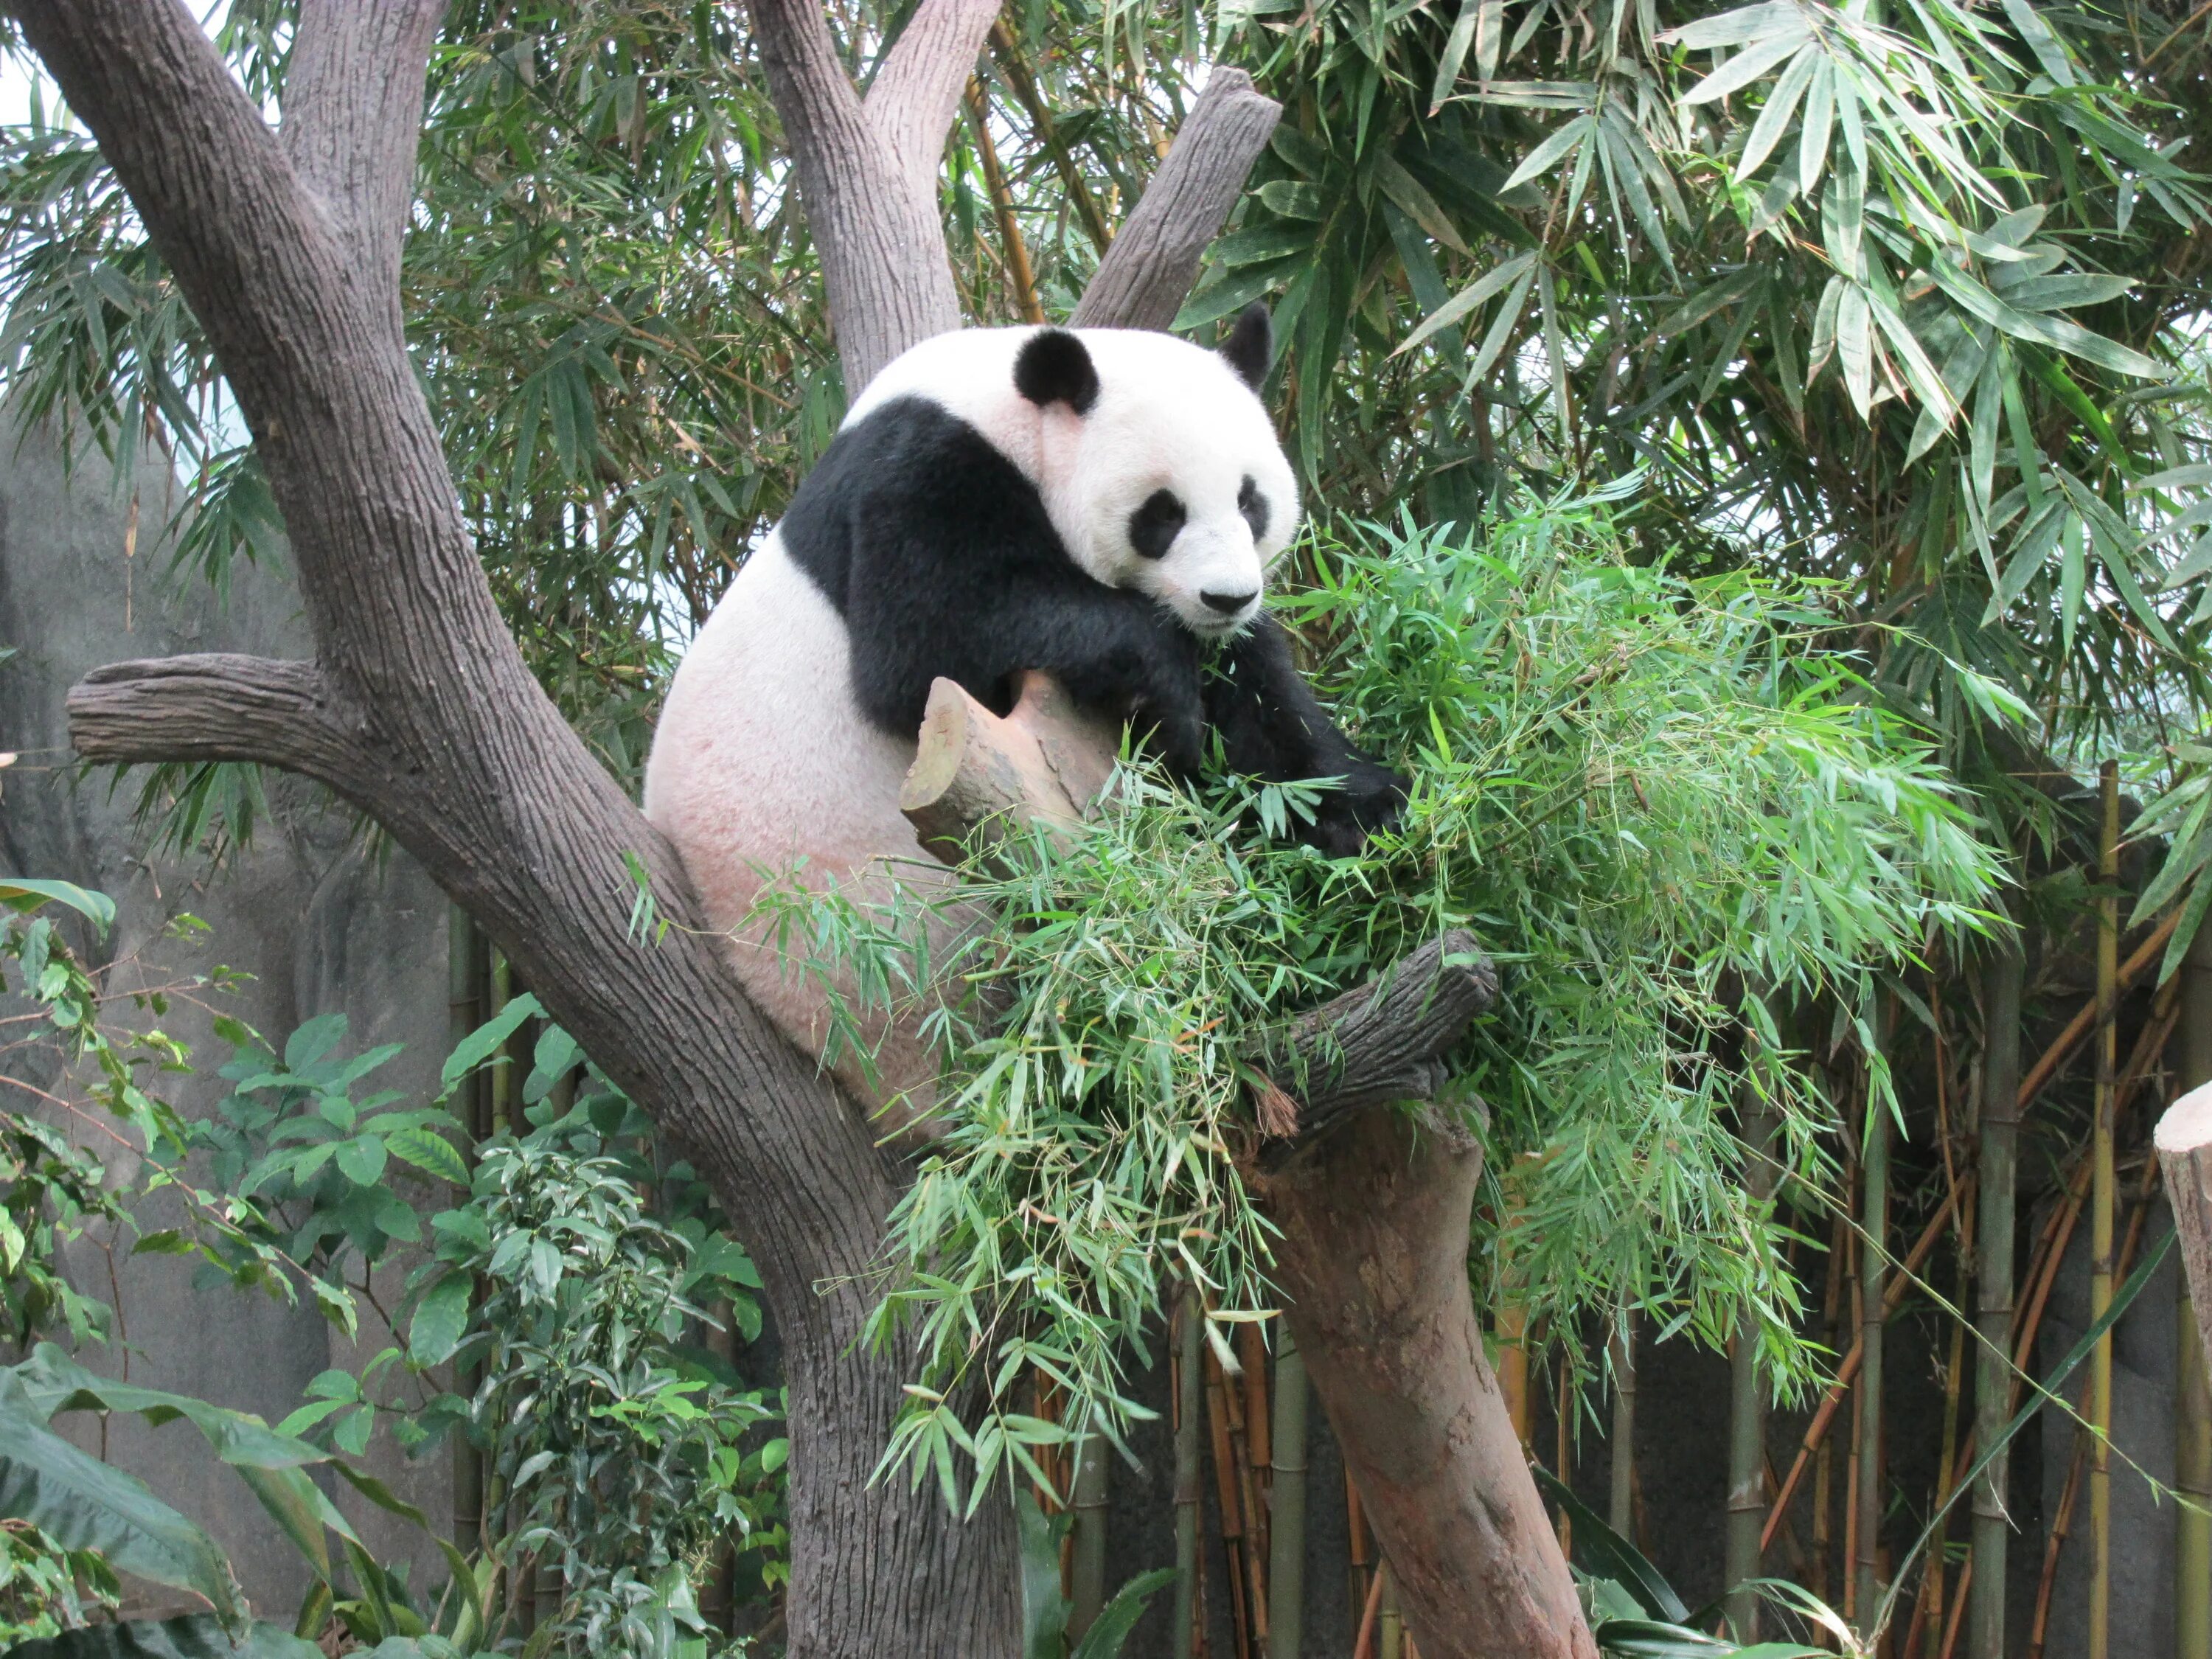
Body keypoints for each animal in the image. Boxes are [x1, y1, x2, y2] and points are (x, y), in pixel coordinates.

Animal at [643, 305, 1403, 1129]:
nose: (1226, 597)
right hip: (890, 963)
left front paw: (1365, 813)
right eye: (1162, 514)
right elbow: (925, 644)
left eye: (1250, 501)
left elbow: (1264, 712)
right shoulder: (920, 477)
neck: (1013, 417)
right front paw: (1167, 693)